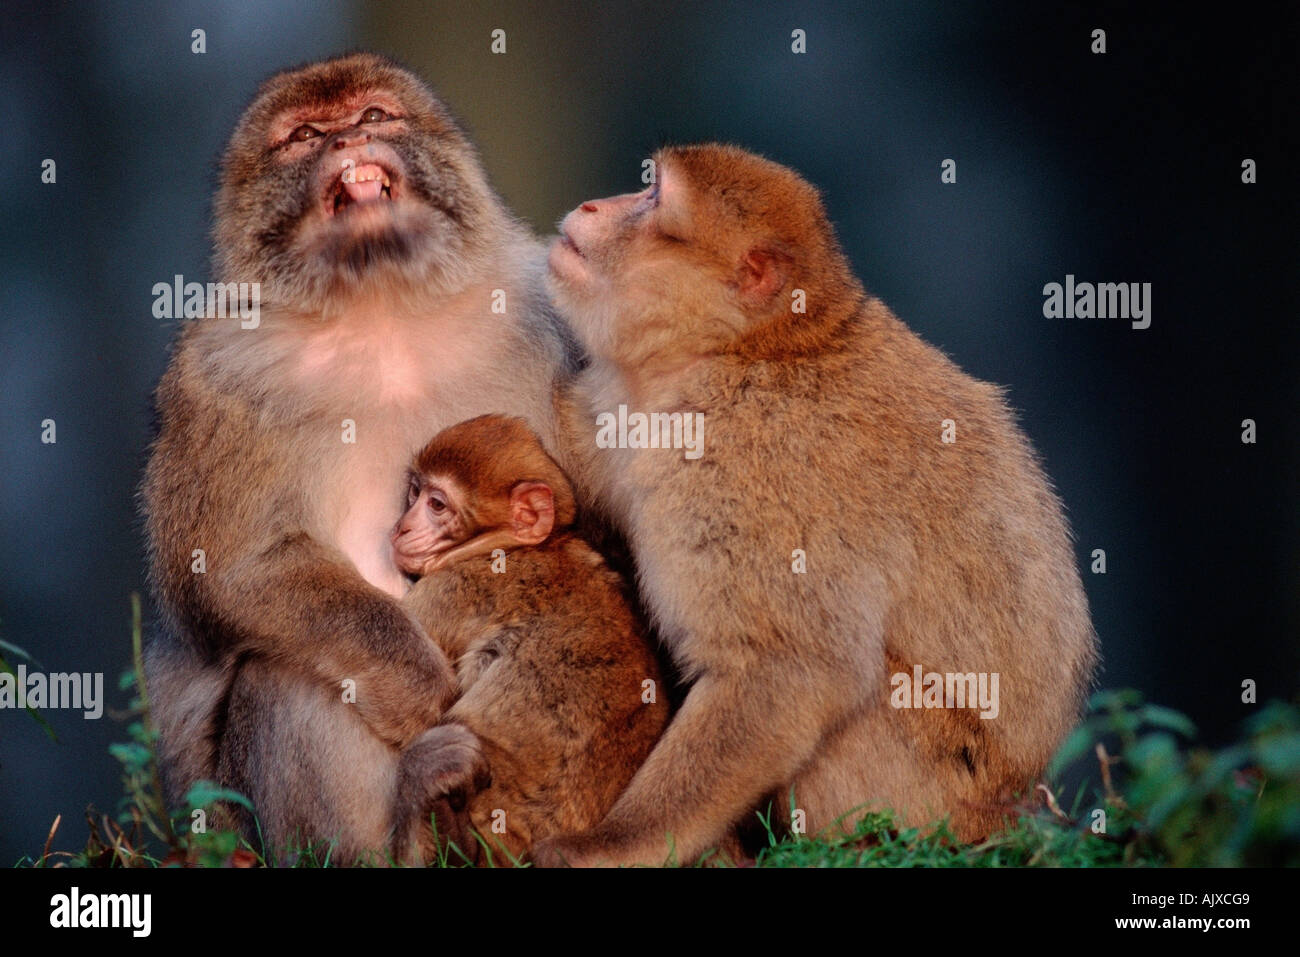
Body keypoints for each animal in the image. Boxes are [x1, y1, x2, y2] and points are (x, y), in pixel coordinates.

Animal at [140, 53, 575, 864]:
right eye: (304, 136)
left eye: (373, 115)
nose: (345, 138)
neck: (382, 306)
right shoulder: (217, 378)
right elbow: (234, 570)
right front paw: (420, 689)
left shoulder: (551, 320)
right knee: (285, 670)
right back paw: (405, 823)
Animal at [536, 143, 1098, 867]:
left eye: (654, 197)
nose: (593, 206)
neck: (748, 348)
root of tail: (1019, 798)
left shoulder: (743, 463)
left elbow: (792, 668)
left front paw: (616, 843)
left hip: (941, 785)